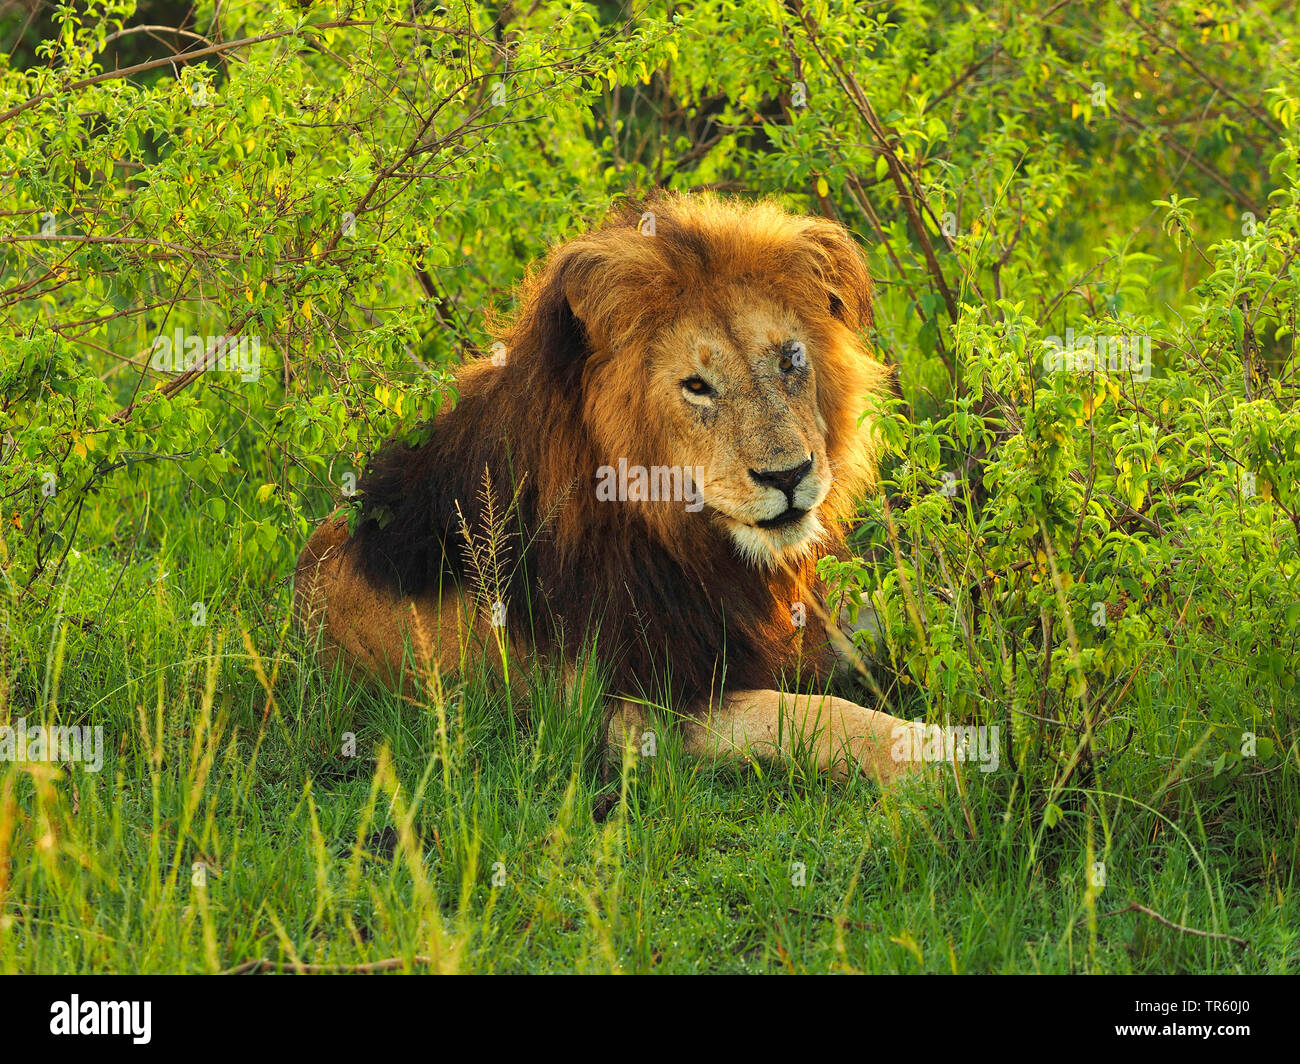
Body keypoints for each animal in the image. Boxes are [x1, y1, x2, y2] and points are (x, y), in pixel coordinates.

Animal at [294, 192, 935, 788]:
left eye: (789, 360)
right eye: (697, 386)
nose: (789, 476)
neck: (682, 538)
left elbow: (897, 615)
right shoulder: (630, 713)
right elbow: (820, 714)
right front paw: (935, 753)